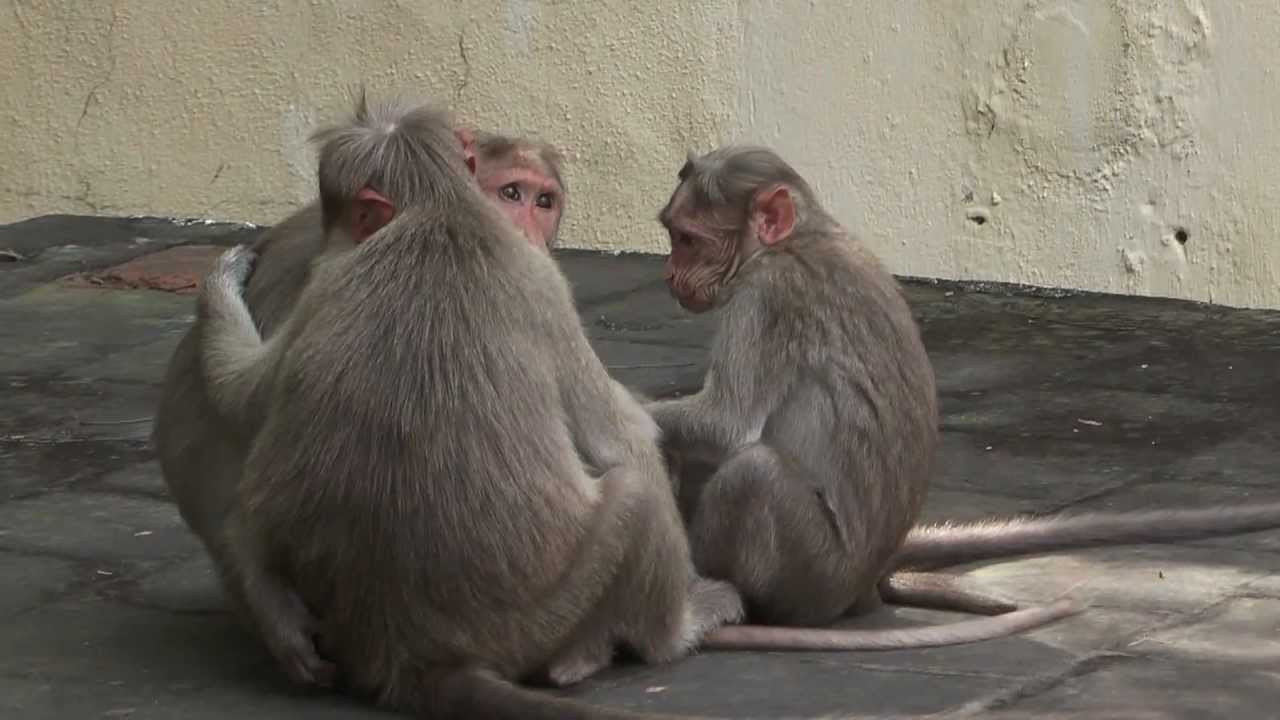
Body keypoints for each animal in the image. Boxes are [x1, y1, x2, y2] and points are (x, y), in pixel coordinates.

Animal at [646, 144, 1280, 629]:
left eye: (690, 239)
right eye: (674, 236)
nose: (669, 274)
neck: (799, 237)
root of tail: (871, 581)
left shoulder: (768, 297)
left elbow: (728, 423)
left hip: (815, 576)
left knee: (753, 472)